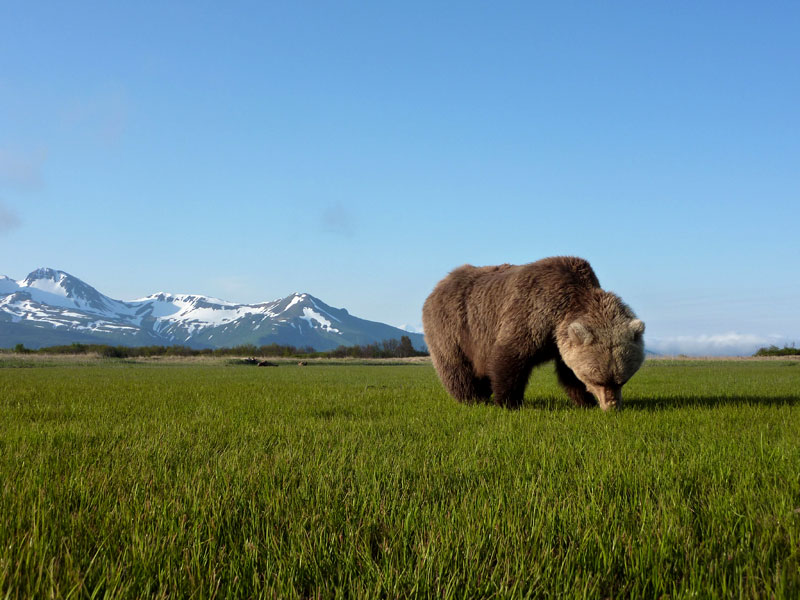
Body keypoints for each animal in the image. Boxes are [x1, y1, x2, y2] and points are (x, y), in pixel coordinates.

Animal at [421, 256, 645, 410]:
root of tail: (441, 283)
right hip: (453, 327)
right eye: (598, 379)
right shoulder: (531, 314)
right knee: (456, 367)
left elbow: (568, 372)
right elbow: (509, 358)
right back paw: (473, 399)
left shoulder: (559, 341)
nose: (612, 406)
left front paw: (585, 400)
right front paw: (508, 402)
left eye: (622, 379)